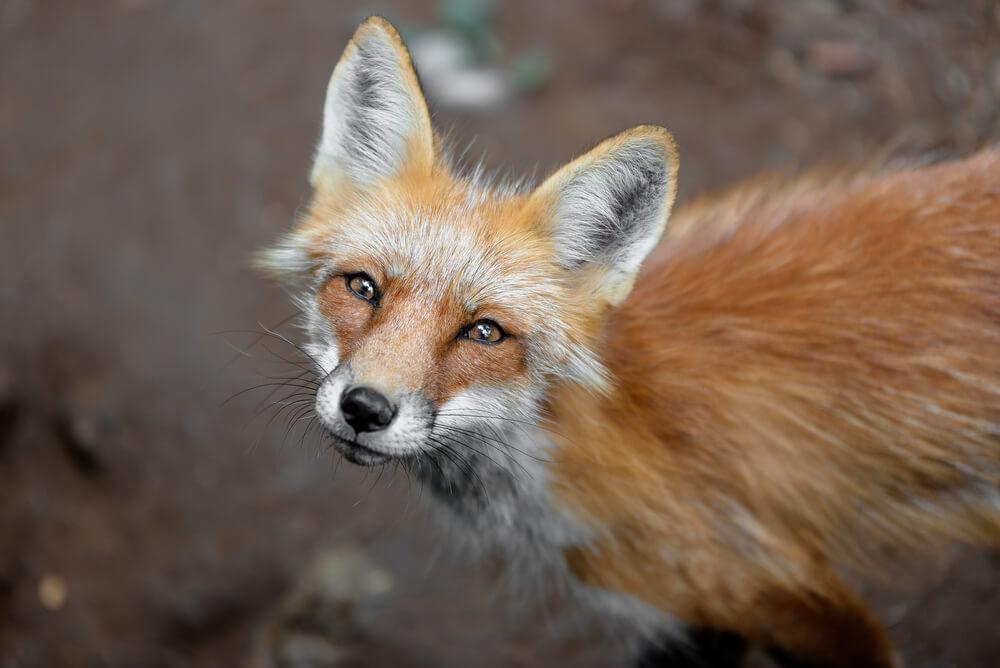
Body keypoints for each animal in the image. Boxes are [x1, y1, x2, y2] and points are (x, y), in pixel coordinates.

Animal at [257, 16, 1000, 668]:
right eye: (363, 288)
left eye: (485, 331)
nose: (365, 408)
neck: (576, 438)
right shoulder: (690, 623)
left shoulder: (790, 596)